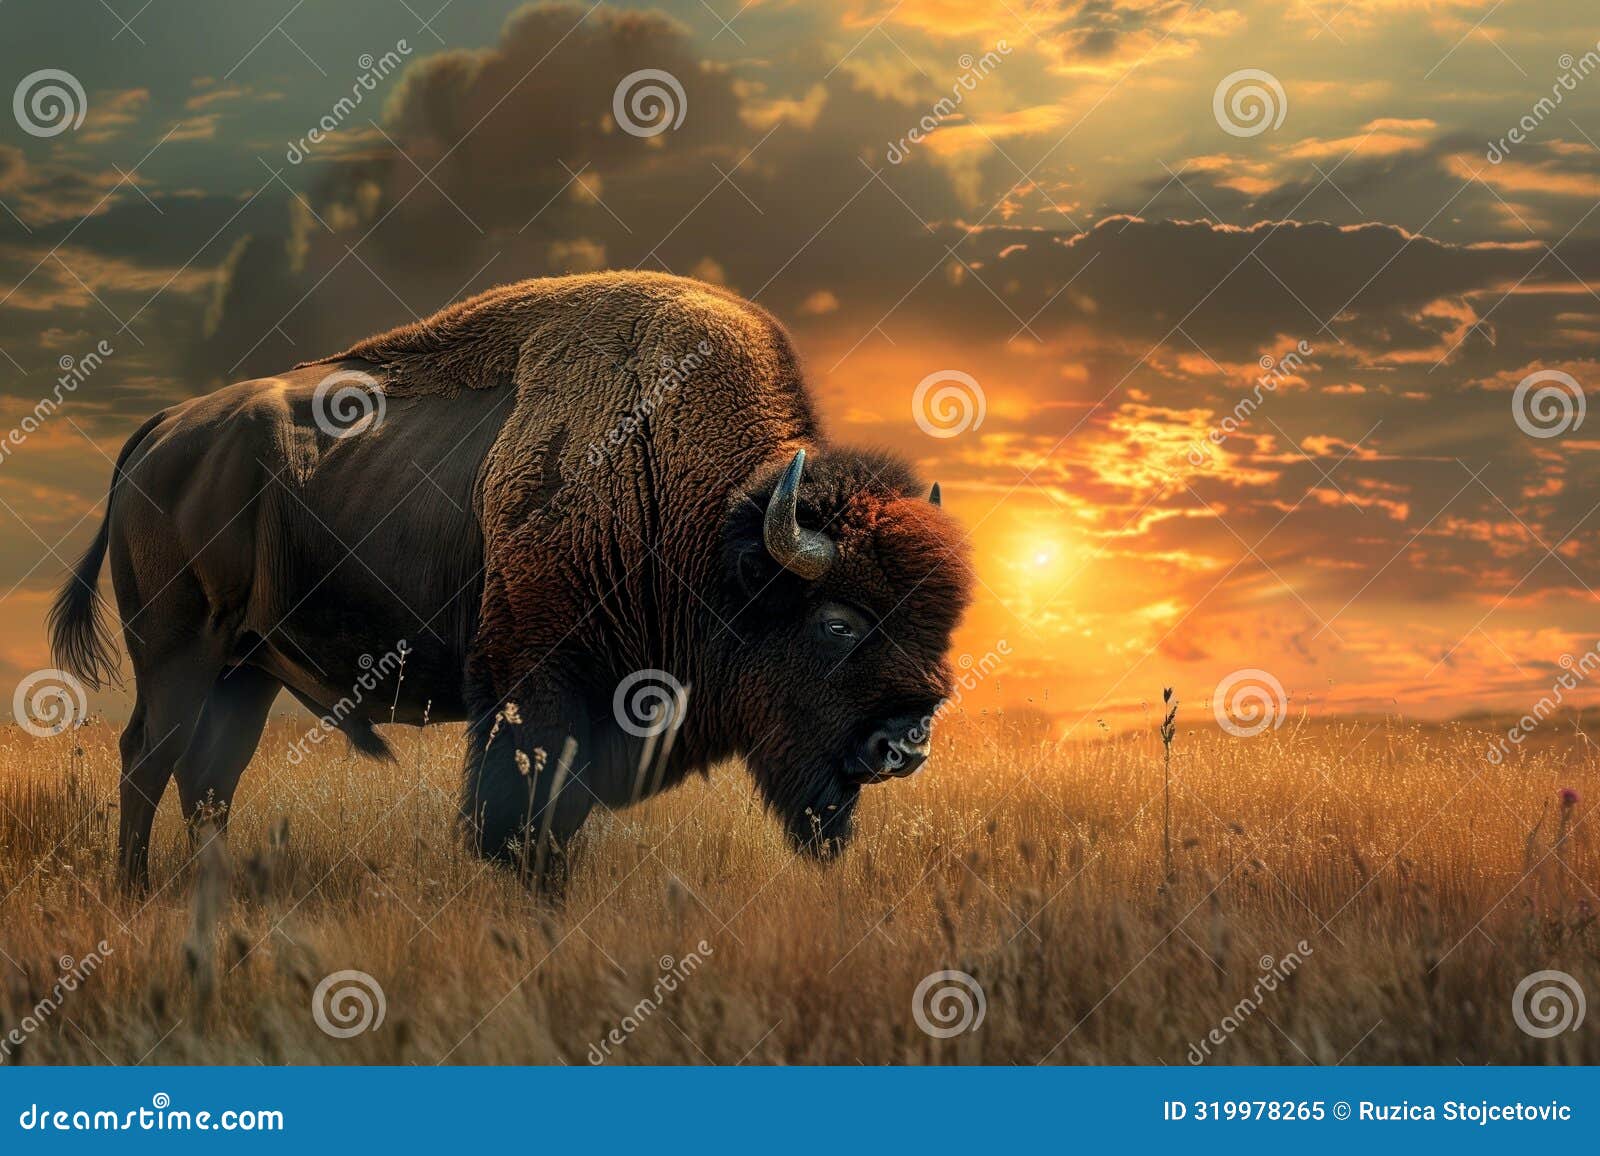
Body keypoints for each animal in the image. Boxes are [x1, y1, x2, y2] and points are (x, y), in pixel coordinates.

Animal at [48, 272, 973, 891]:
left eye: (940, 623)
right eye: (837, 621)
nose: (907, 743)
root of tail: (163, 431)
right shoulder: (537, 688)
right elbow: (522, 822)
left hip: (247, 670)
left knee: (211, 777)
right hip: (178, 654)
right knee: (150, 757)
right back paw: (135, 890)